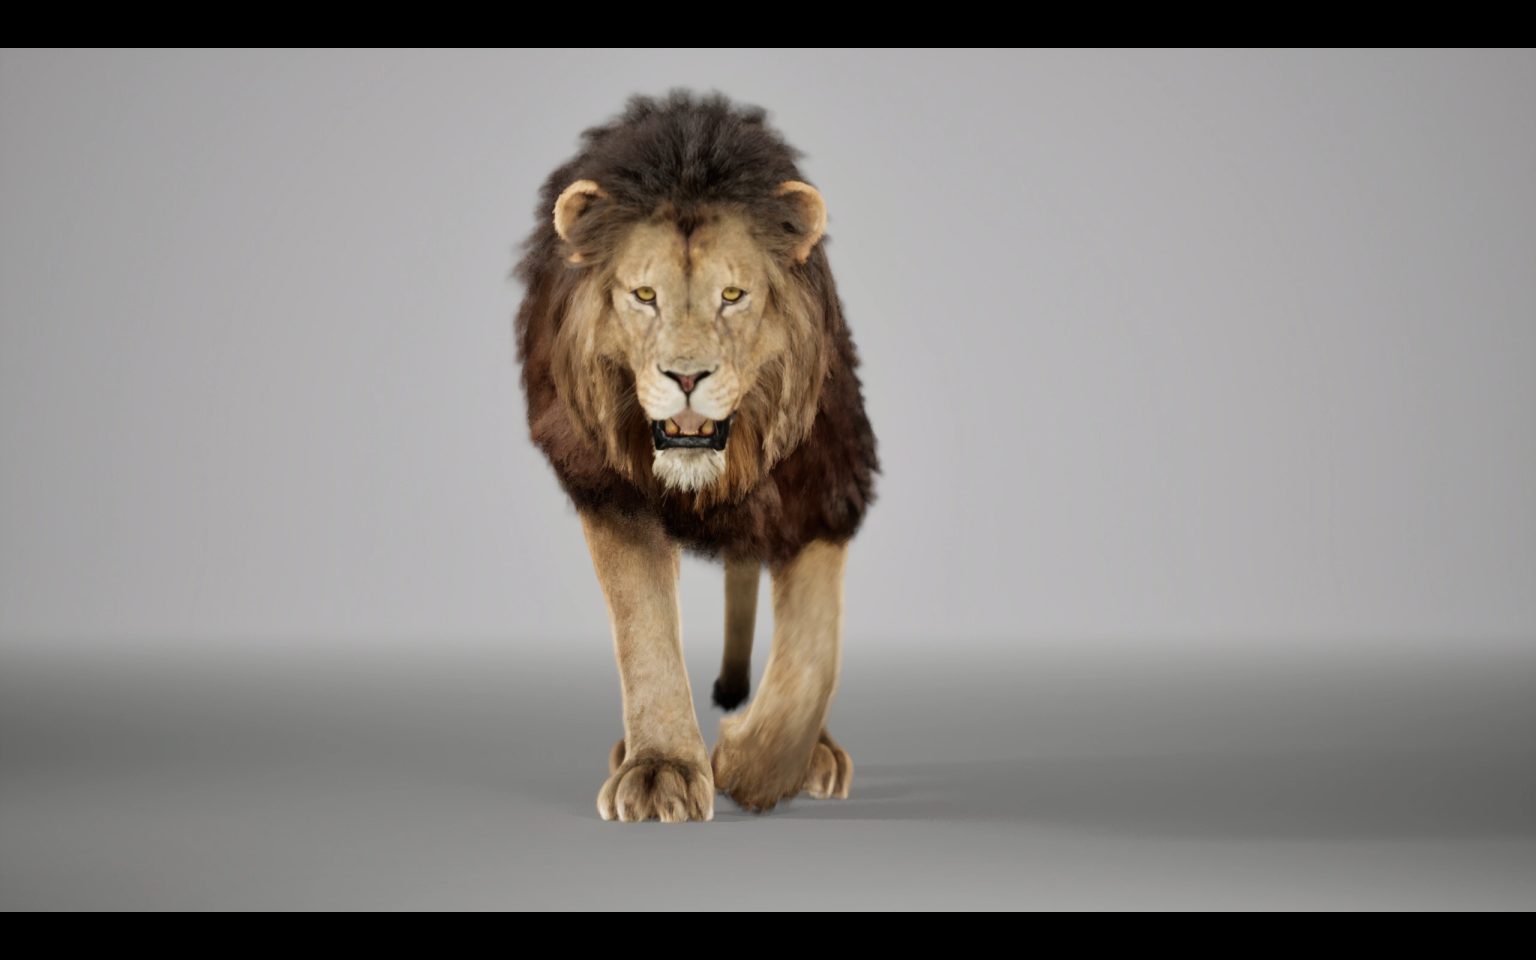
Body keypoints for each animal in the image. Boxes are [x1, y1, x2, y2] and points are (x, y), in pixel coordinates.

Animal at [510, 89, 879, 821]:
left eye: (732, 296)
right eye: (644, 295)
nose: (686, 378)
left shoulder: (824, 482)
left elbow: (814, 652)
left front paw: (750, 764)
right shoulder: (613, 492)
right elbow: (645, 629)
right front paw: (662, 768)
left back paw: (815, 755)